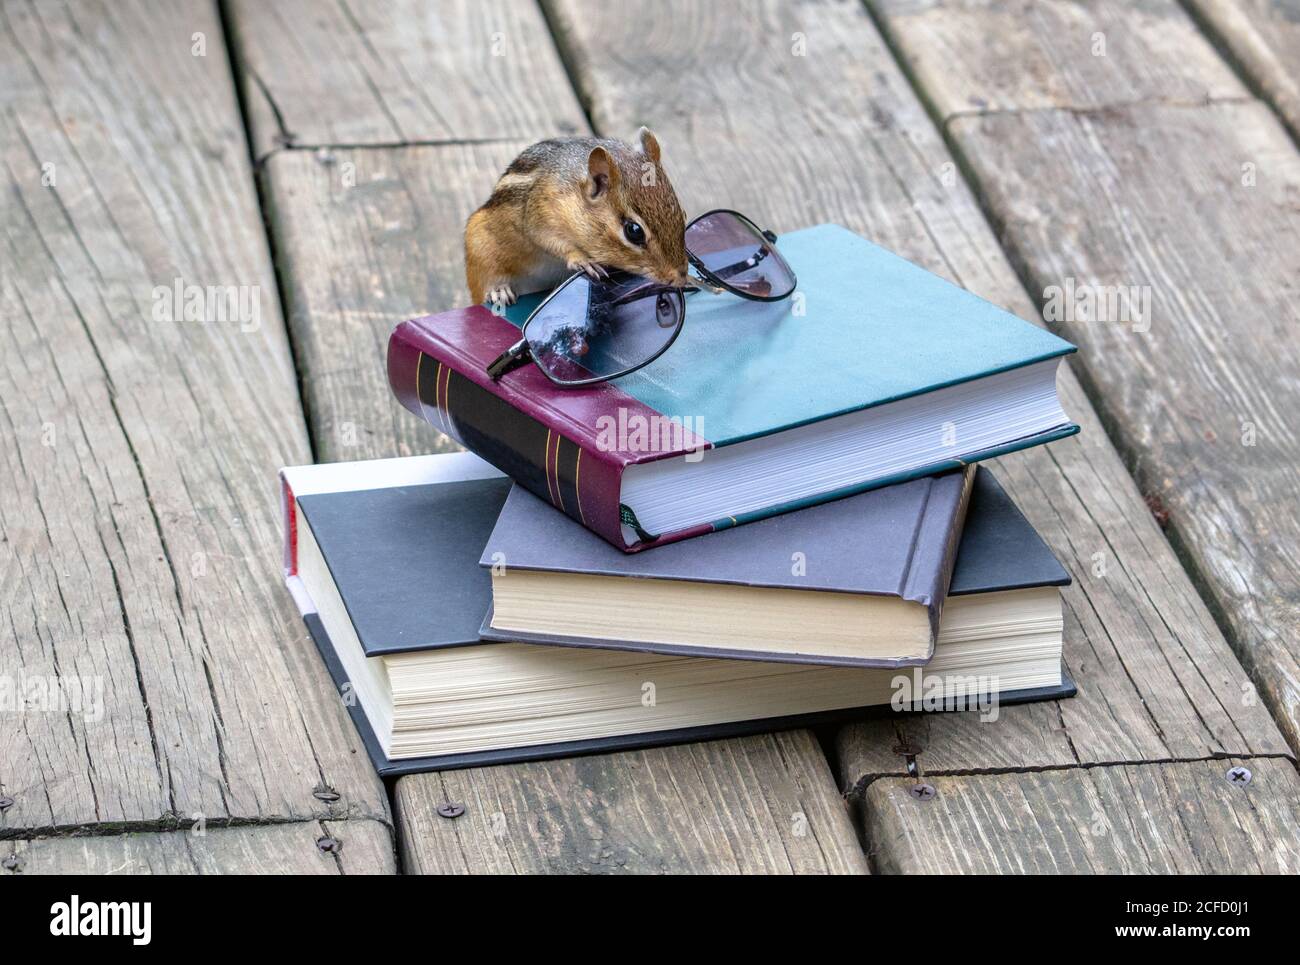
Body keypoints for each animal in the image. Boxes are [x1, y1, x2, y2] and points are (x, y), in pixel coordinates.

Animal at [464, 128, 690, 306]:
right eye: (634, 231)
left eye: (683, 214)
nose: (681, 277)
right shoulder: (541, 211)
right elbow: (546, 238)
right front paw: (583, 260)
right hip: (479, 245)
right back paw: (498, 290)